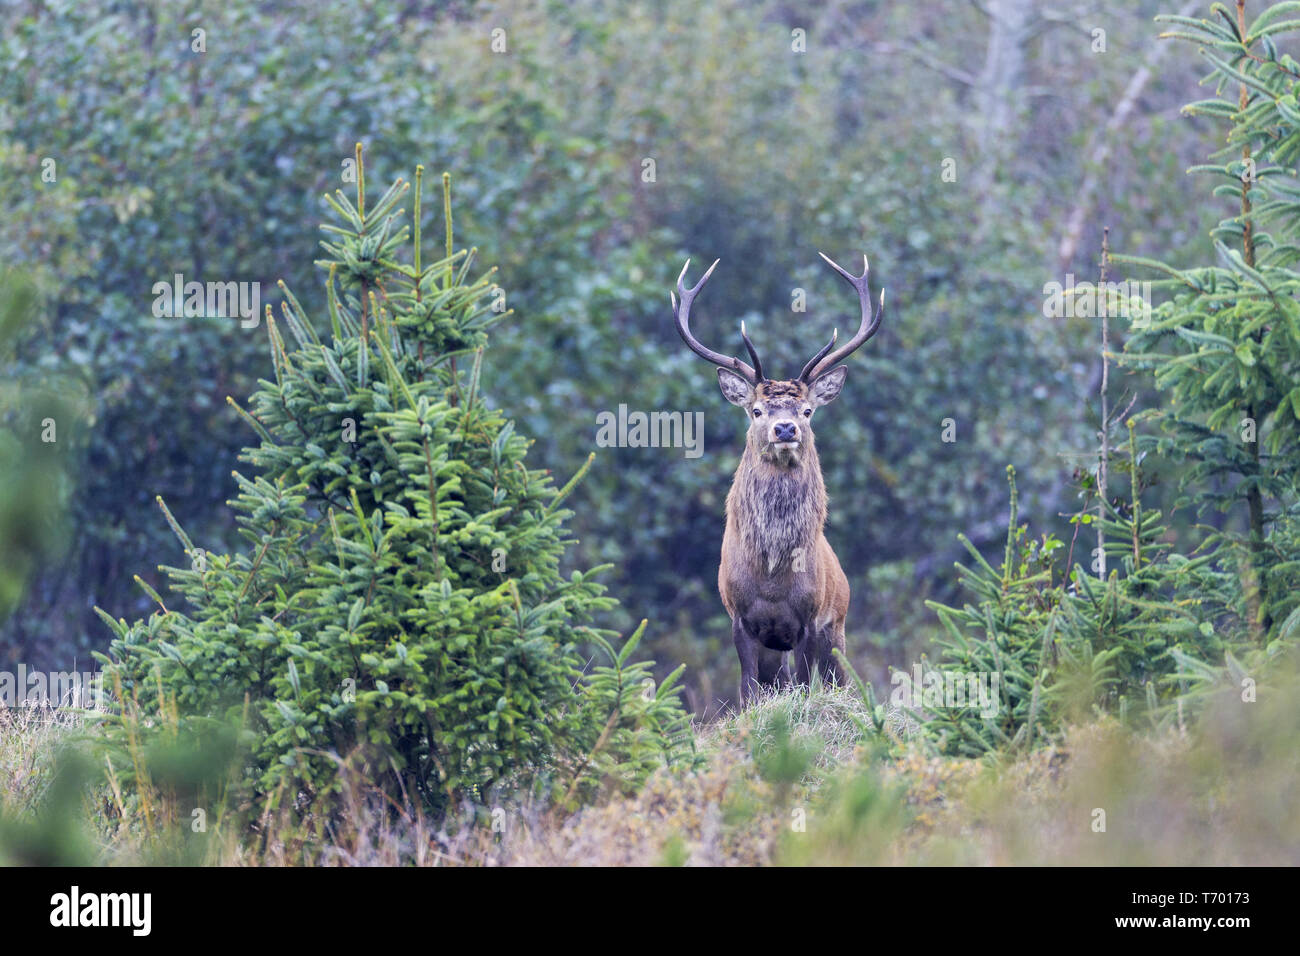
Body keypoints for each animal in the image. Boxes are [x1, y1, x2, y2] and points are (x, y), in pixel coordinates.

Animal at [671, 252, 884, 705]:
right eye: (755, 410)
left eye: (807, 410)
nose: (785, 428)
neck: (771, 578)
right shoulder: (739, 617)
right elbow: (748, 691)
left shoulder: (810, 619)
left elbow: (805, 686)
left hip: (838, 627)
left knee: (837, 681)